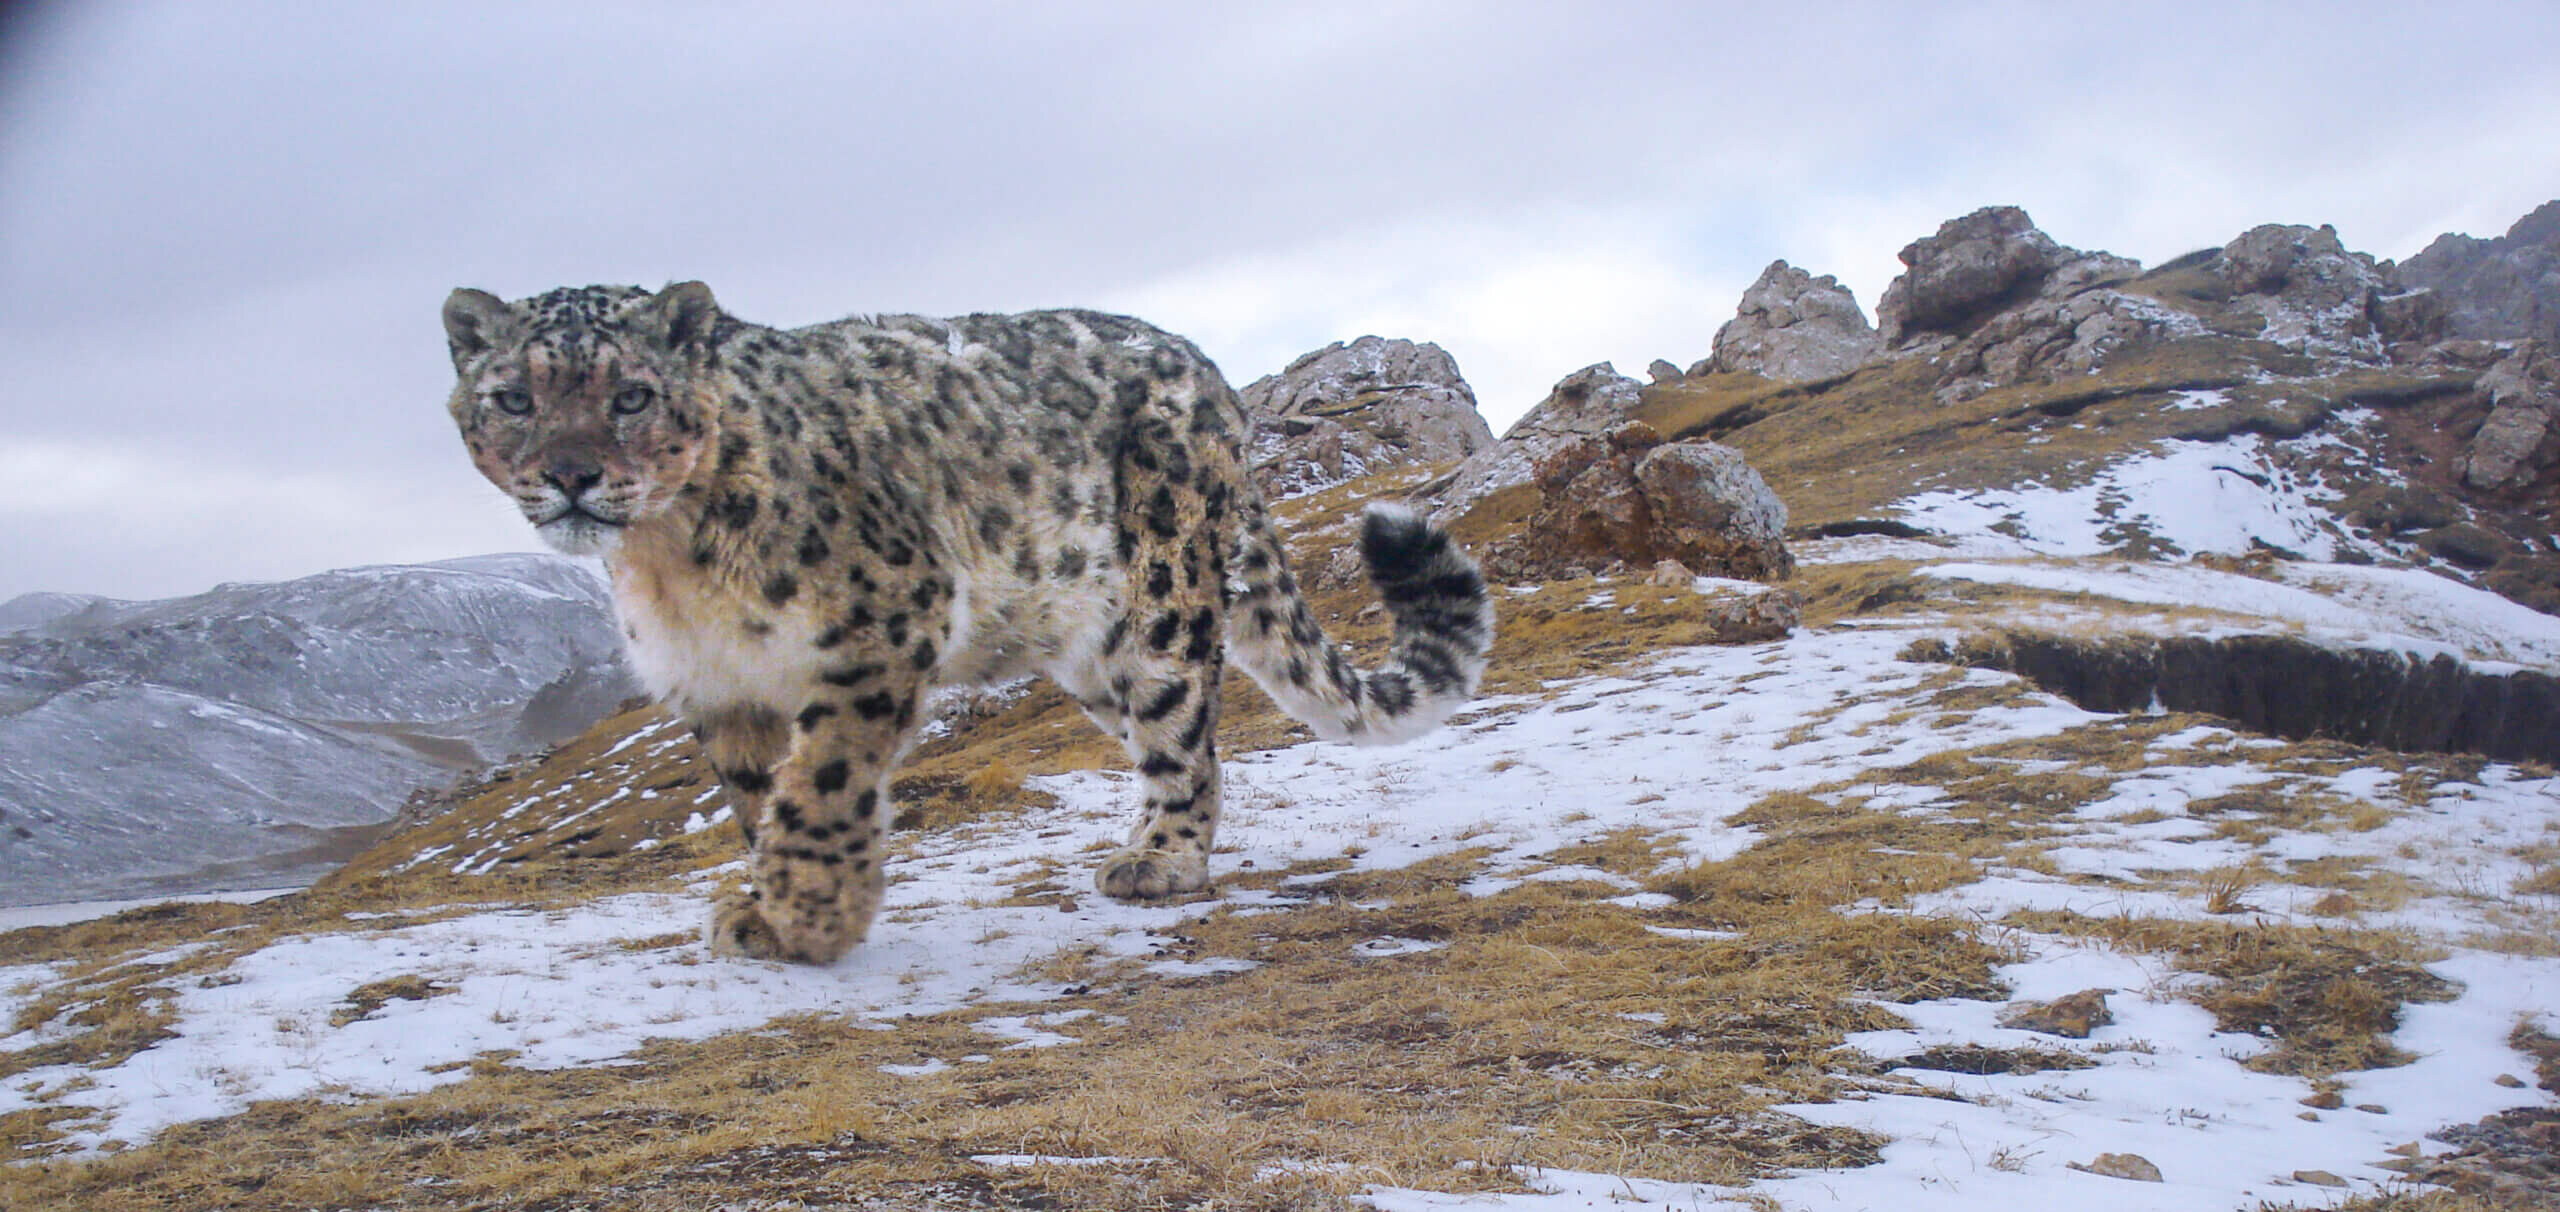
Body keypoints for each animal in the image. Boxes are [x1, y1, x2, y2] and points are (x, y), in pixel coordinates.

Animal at [440, 281, 1495, 964]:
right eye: (514, 397)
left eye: (630, 394)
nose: (570, 475)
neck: (668, 562)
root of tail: (1211, 378)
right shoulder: (718, 684)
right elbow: (758, 798)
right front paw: (771, 908)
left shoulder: (878, 621)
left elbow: (820, 785)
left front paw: (810, 917)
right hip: (1090, 646)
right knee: (1173, 736)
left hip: (1161, 586)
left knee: (1183, 725)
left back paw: (1159, 863)